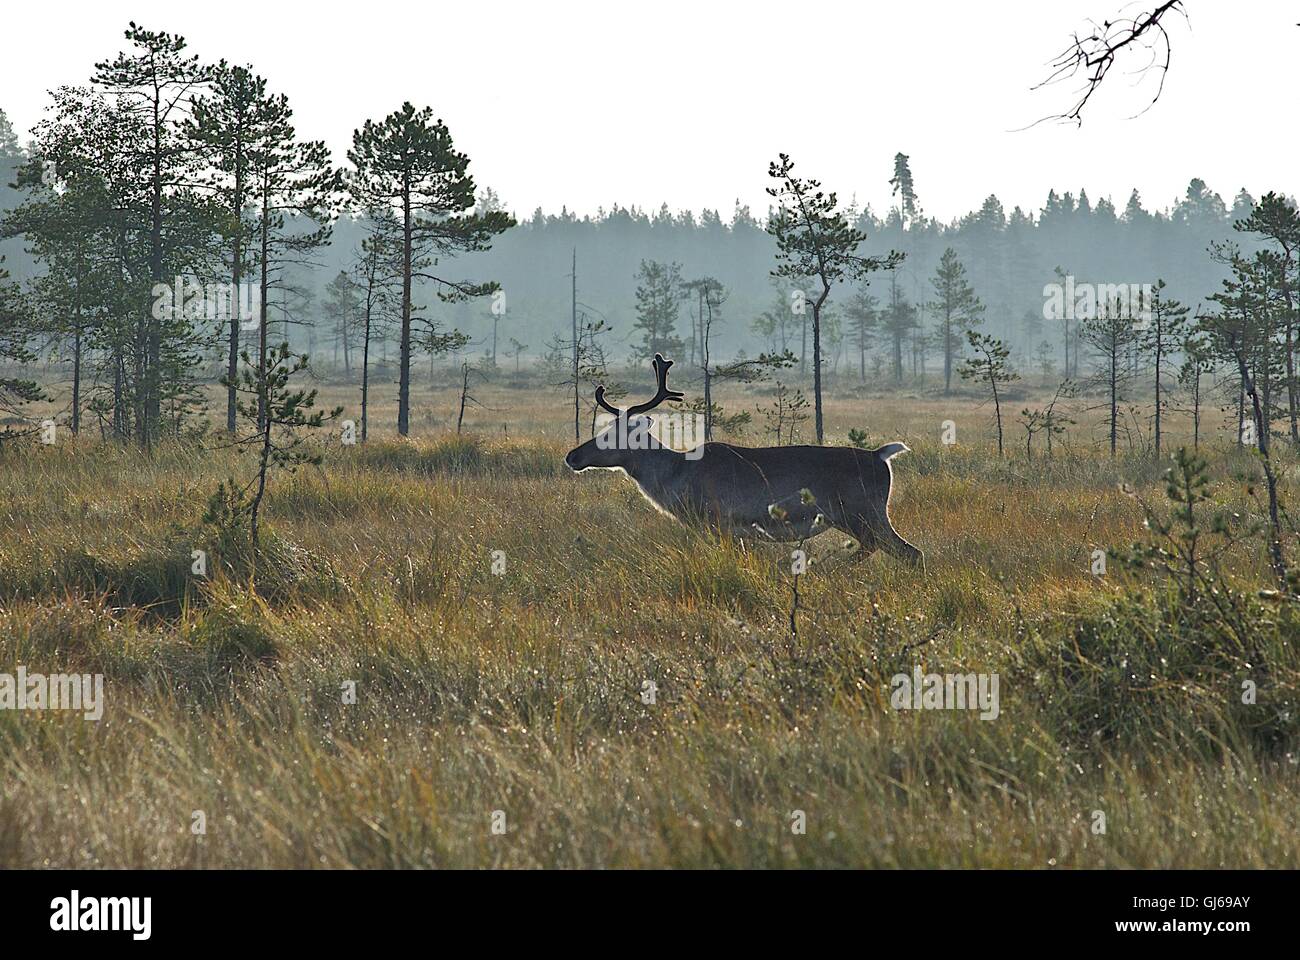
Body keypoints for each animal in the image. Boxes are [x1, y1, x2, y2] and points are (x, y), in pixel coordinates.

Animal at [564, 354, 923, 566]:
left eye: (611, 434)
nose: (572, 455)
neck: (675, 476)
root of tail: (881, 456)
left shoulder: (716, 520)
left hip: (864, 512)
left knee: (908, 552)